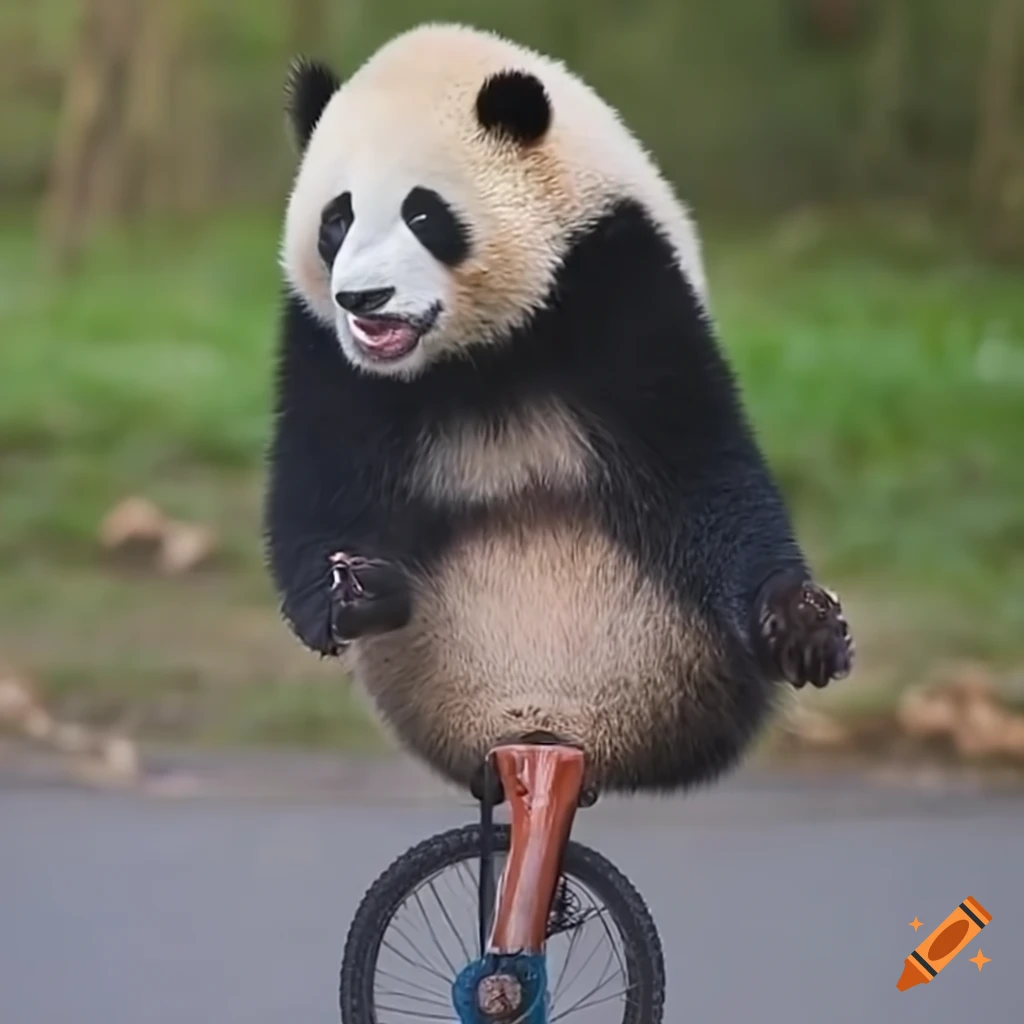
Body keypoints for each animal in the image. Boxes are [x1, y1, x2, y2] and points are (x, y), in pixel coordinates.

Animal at [265, 23, 854, 794]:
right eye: (336, 220)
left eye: (423, 214)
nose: (364, 299)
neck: (478, 352)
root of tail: (553, 726)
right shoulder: (326, 347)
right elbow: (321, 482)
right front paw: (350, 592)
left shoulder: (618, 275)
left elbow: (702, 466)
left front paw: (801, 622)